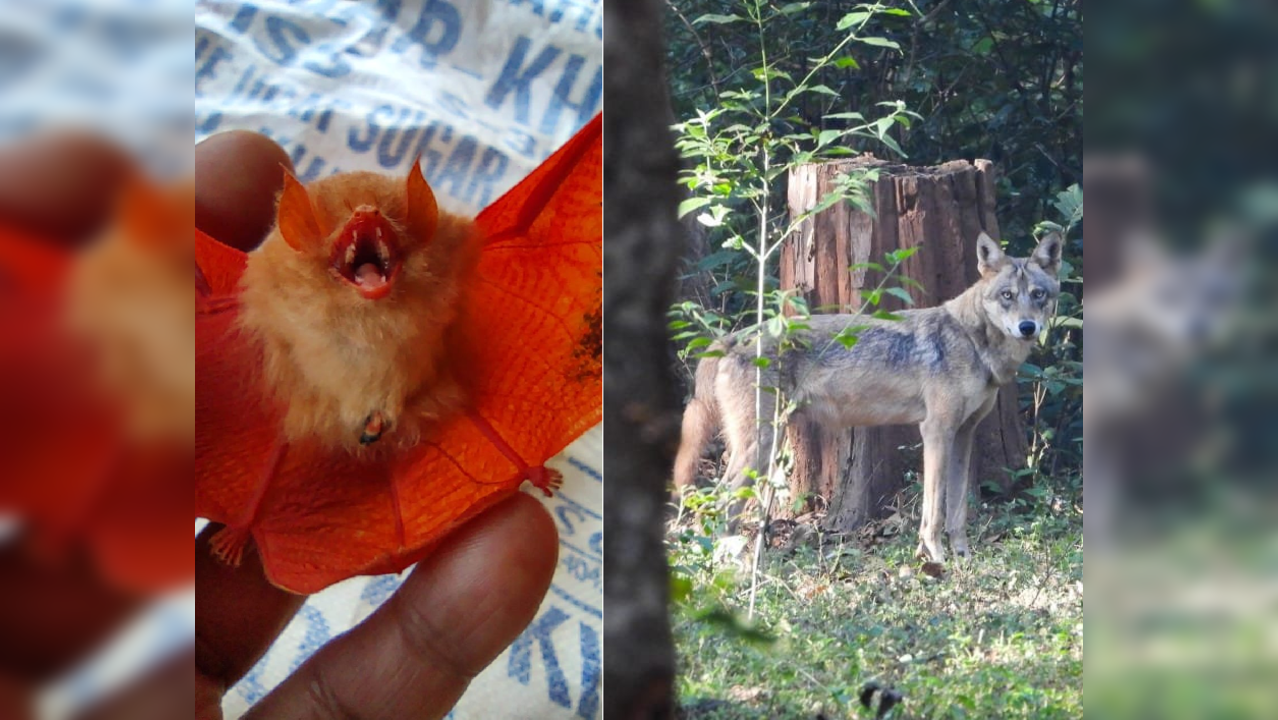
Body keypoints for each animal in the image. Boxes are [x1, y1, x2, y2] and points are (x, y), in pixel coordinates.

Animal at [672, 232, 1062, 563]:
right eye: (1007, 296)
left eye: (1038, 295)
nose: (1028, 327)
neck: (972, 340)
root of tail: (733, 337)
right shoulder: (935, 431)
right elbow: (933, 510)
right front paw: (935, 559)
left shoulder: (963, 434)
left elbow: (956, 511)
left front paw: (963, 557)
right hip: (762, 446)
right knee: (721, 498)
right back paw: (735, 564)